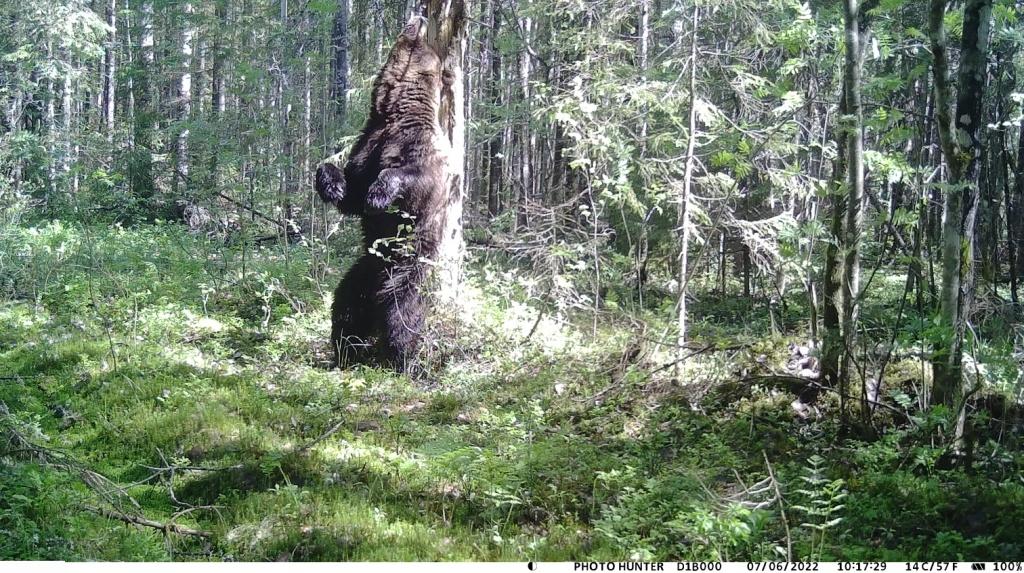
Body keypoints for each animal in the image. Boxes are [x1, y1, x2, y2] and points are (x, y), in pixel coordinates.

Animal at [315, 13, 450, 372]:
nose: (420, 13)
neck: (395, 112)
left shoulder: (419, 150)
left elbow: (411, 181)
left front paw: (379, 193)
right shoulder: (369, 142)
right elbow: (351, 189)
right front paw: (331, 182)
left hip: (406, 270)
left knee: (403, 314)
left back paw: (400, 360)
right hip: (361, 272)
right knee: (346, 310)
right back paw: (345, 352)